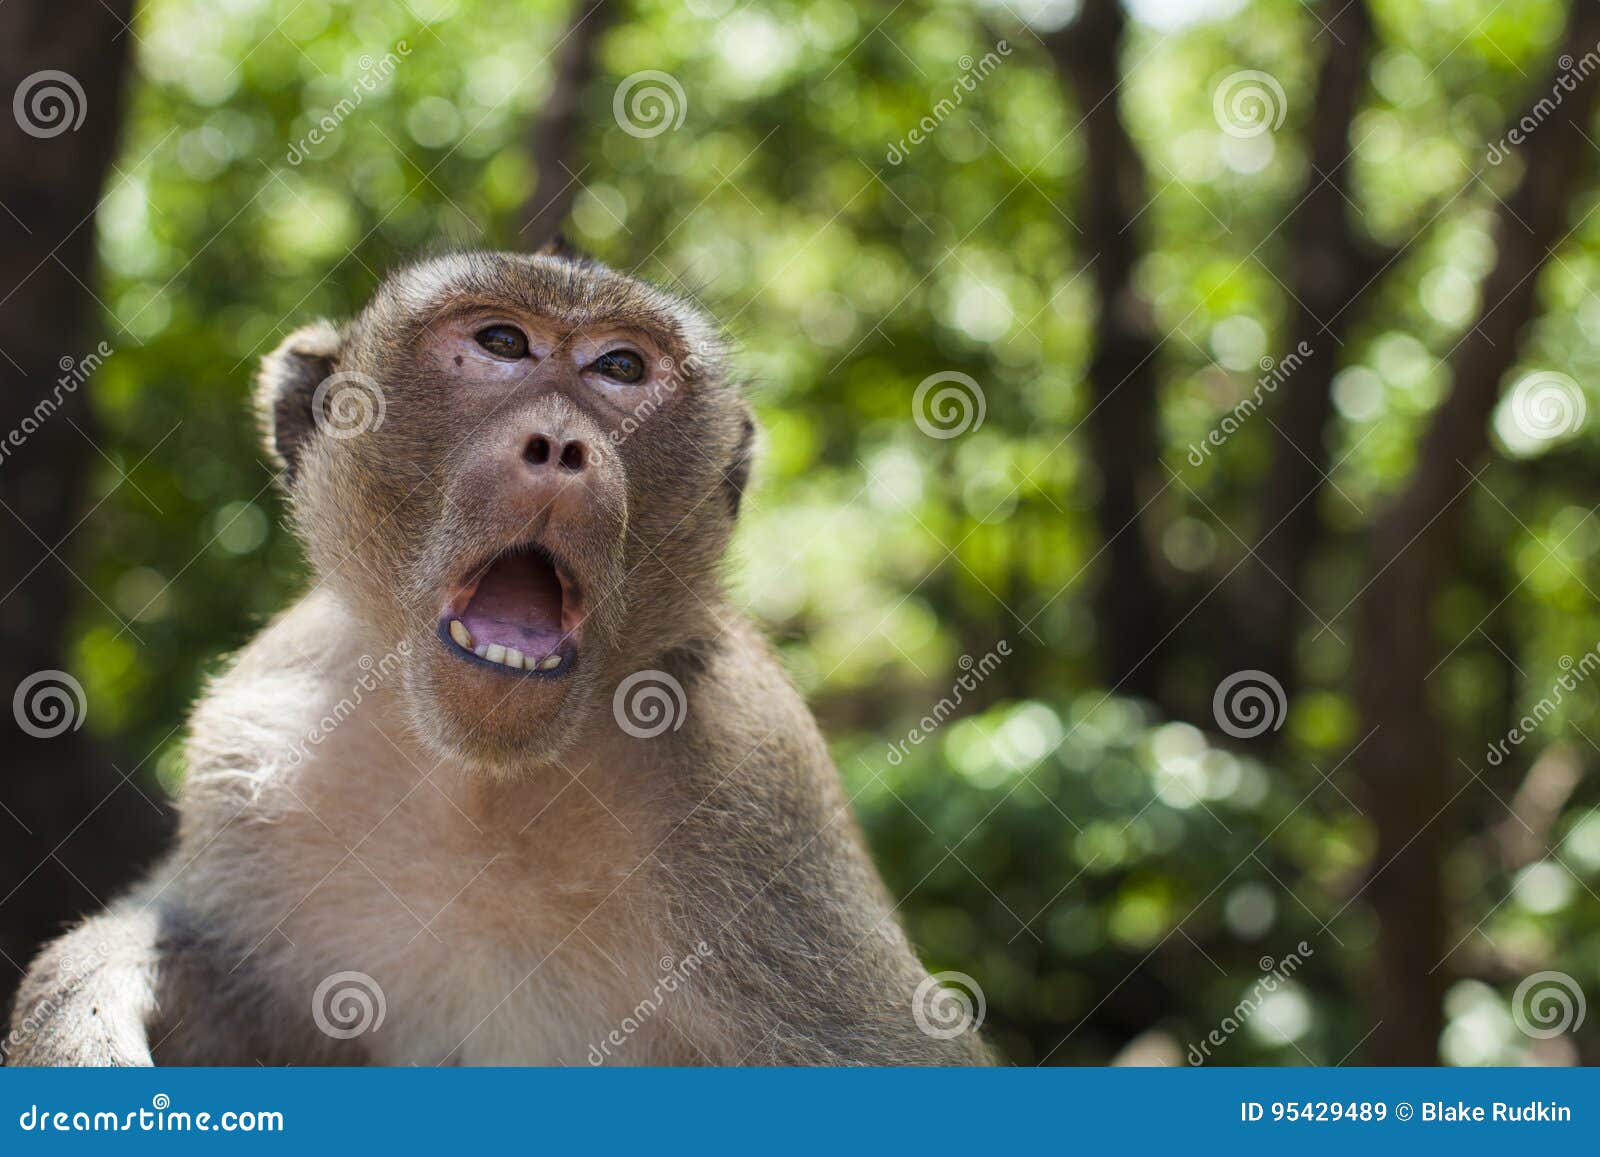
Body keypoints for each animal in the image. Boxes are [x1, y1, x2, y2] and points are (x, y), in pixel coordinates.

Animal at [6, 247, 994, 1067]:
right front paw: (79, 1001)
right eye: (503, 343)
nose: (559, 444)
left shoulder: (754, 791)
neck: (481, 781)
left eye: (620, 367)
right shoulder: (252, 744)